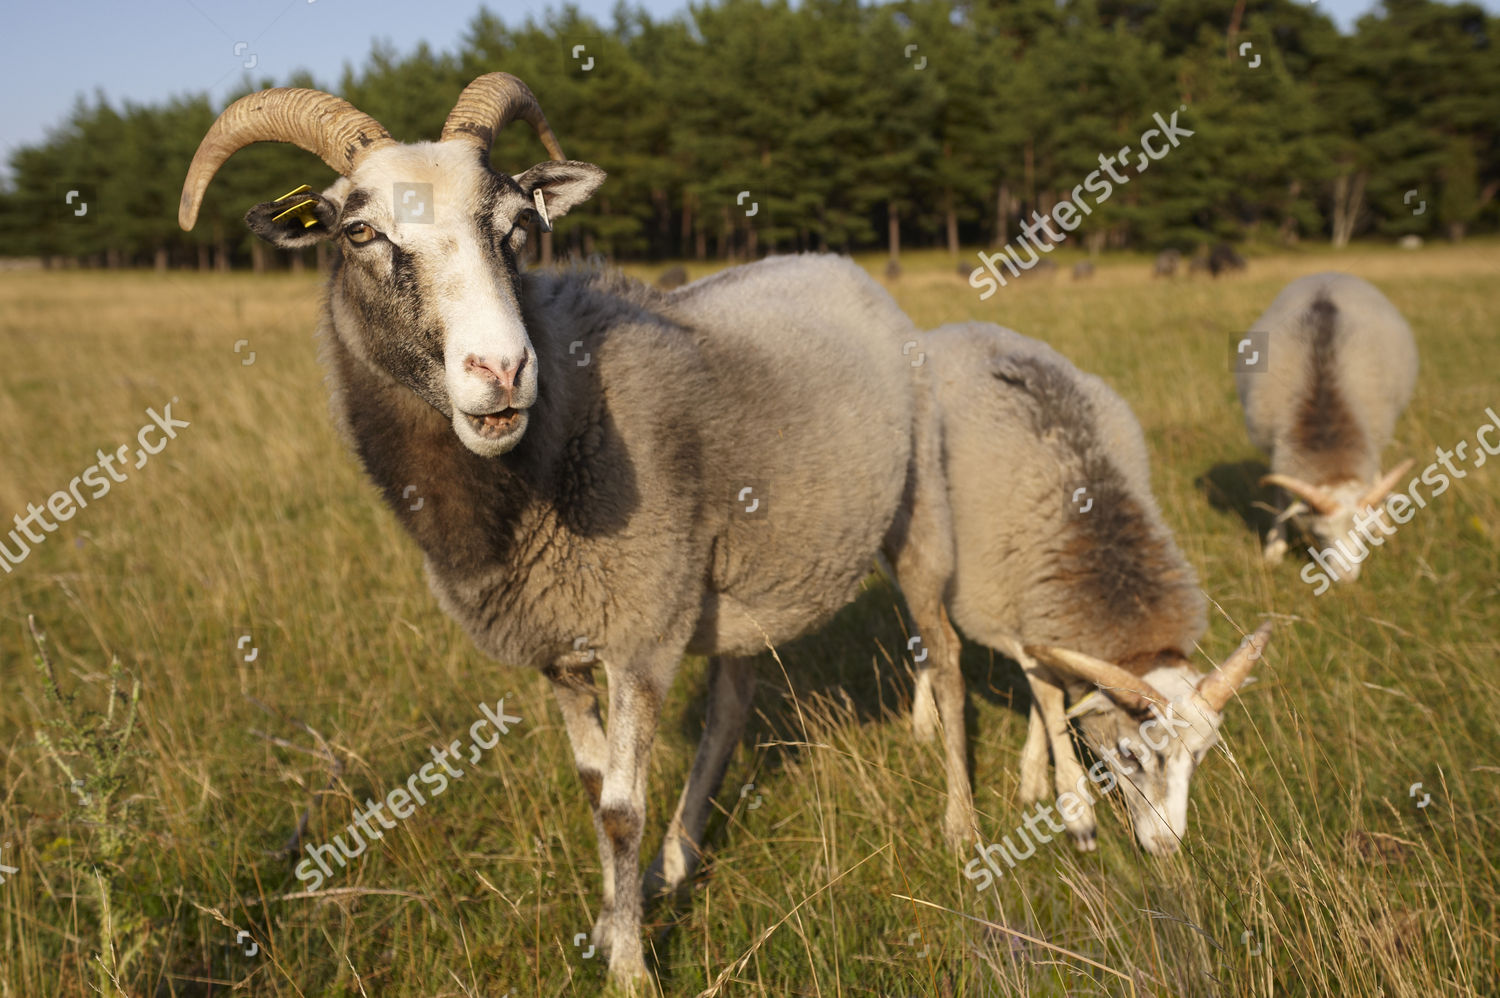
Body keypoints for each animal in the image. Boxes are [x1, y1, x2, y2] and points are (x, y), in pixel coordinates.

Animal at [177, 74, 970, 984]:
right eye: (358, 231)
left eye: (517, 228)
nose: (501, 370)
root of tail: (839, 265)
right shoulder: (558, 647)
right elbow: (595, 793)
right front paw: (609, 919)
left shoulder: (640, 632)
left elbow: (621, 808)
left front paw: (629, 970)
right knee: (735, 702)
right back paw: (675, 862)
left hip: (918, 508)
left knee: (946, 655)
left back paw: (961, 826)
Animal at [912, 322, 1269, 855]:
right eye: (1129, 754)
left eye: (1201, 755)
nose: (1167, 848)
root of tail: (952, 327)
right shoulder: (1014, 617)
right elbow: (1050, 702)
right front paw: (1075, 807)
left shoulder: (1043, 611)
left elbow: (1047, 696)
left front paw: (1033, 774)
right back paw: (923, 719)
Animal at [1236, 272, 1418, 582]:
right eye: (1320, 533)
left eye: (1364, 533)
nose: (1345, 579)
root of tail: (1329, 274)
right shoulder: (1277, 447)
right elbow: (1281, 499)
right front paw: (1275, 548)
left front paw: (1383, 527)